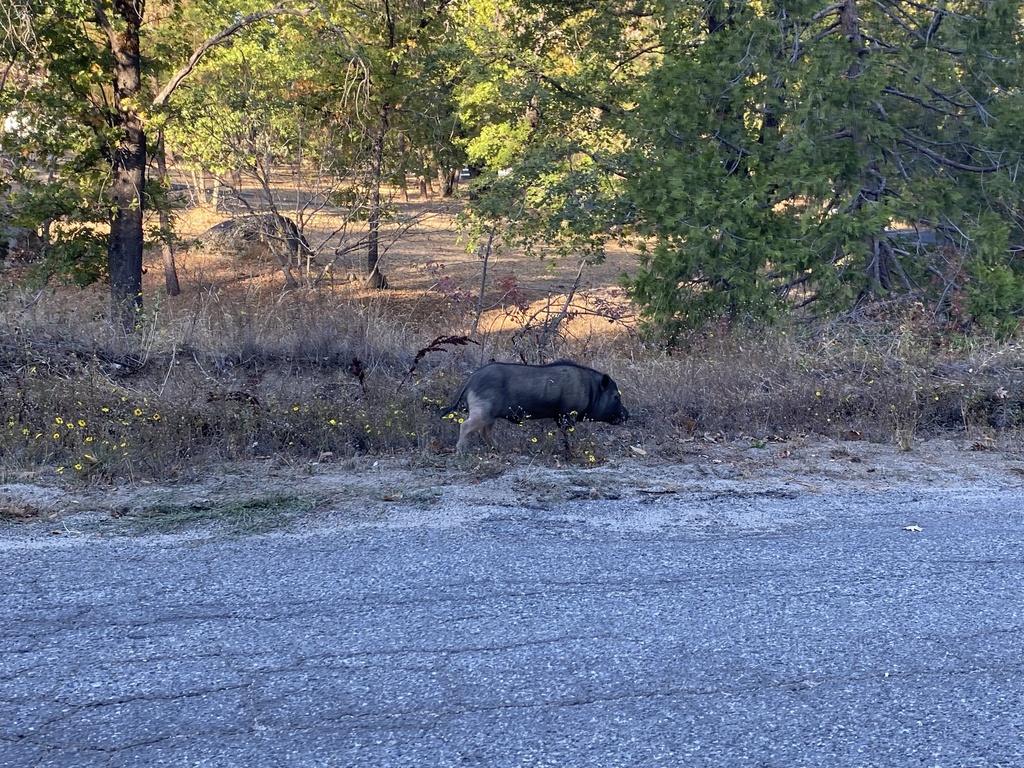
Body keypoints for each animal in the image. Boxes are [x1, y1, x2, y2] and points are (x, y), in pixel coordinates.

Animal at [444, 361, 629, 454]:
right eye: (616, 396)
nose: (627, 415)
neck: (590, 389)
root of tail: (471, 379)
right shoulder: (567, 416)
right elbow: (566, 434)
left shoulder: (559, 417)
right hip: (482, 411)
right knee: (466, 426)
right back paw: (461, 452)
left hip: (490, 415)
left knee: (485, 431)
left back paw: (498, 449)